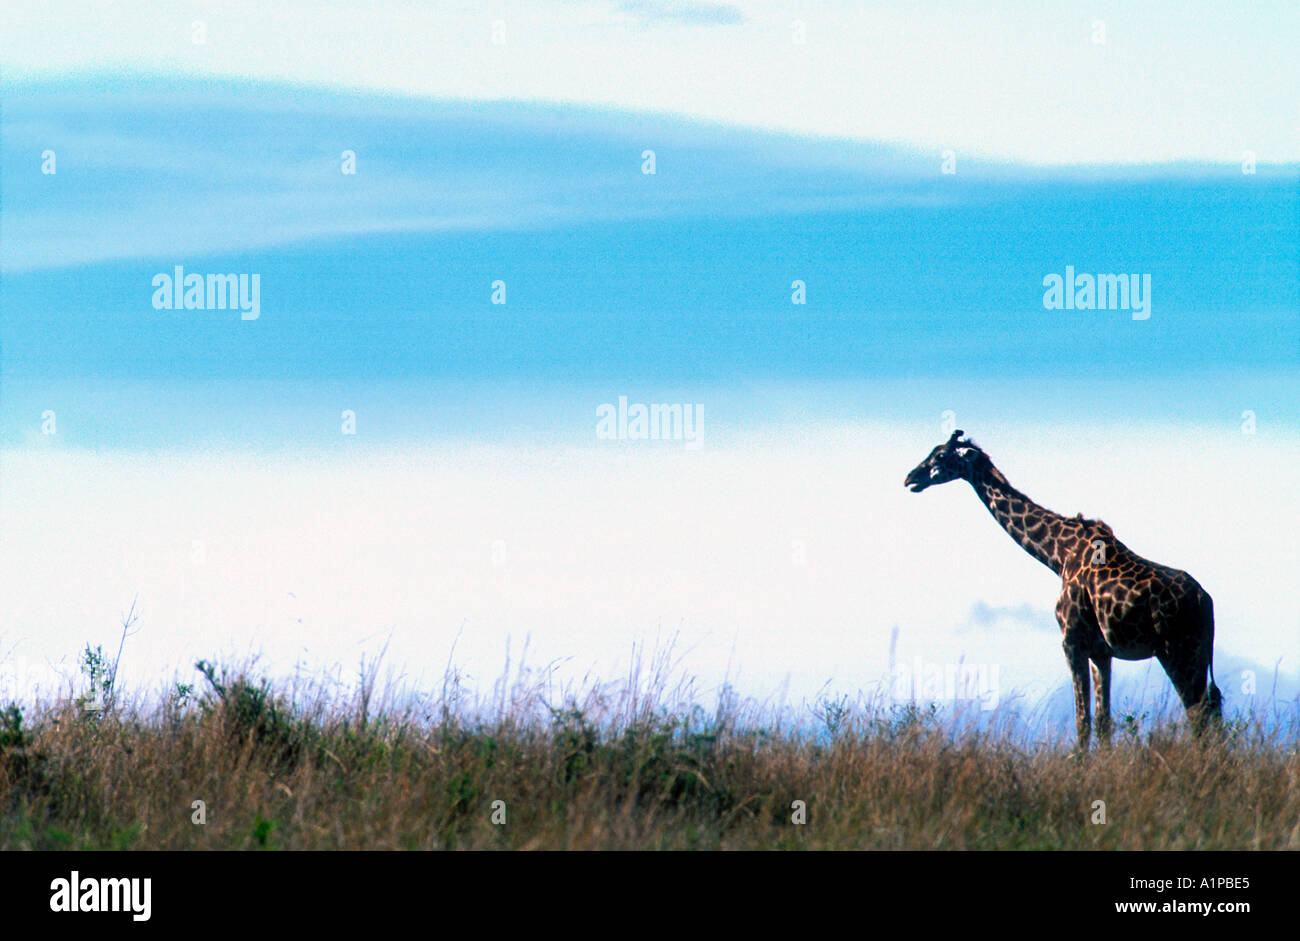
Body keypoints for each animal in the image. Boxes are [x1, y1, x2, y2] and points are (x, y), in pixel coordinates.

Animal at [903, 430, 1221, 748]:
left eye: (941, 455)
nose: (910, 478)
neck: (1058, 554)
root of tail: (1206, 602)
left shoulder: (1071, 640)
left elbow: (1082, 720)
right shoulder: (1100, 652)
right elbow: (1103, 721)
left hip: (1176, 650)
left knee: (1197, 713)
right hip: (1197, 653)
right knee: (1211, 708)